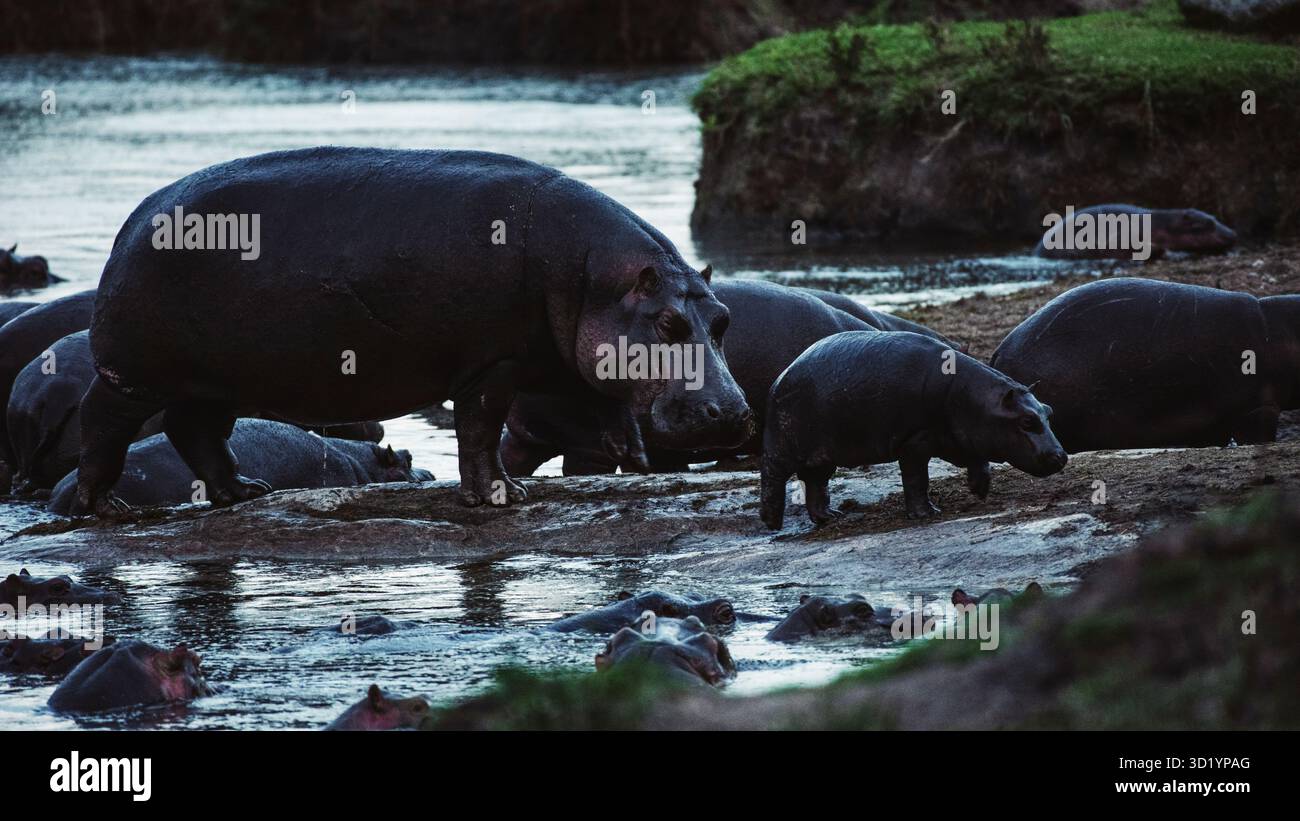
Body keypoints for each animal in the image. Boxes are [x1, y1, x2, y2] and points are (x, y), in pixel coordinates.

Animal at [760, 331, 1068, 528]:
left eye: (1049, 410)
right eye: (1027, 421)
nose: (1061, 456)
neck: (971, 397)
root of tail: (781, 377)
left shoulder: (968, 437)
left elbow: (979, 461)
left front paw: (980, 490)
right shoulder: (915, 442)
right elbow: (917, 478)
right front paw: (927, 513)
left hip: (823, 454)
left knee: (816, 482)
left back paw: (831, 517)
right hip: (782, 447)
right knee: (772, 477)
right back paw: (772, 523)